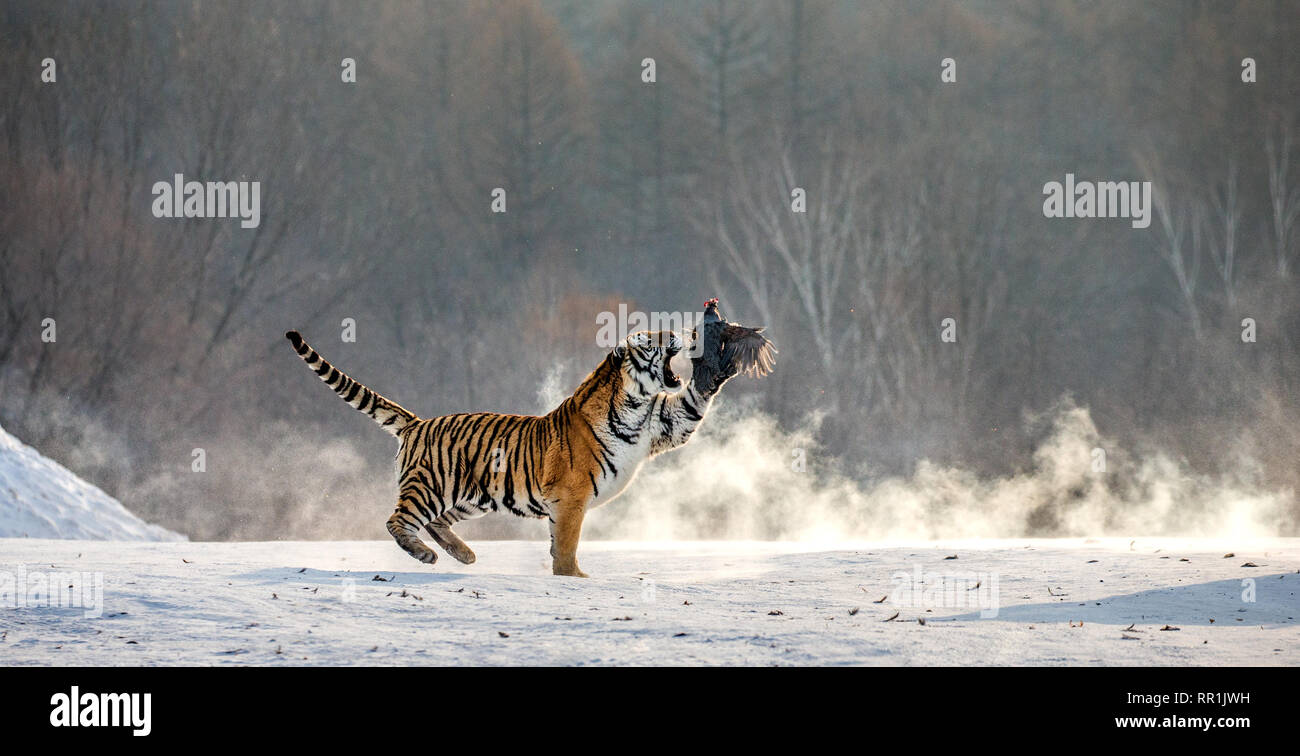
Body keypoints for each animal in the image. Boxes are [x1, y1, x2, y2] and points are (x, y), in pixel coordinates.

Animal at [284, 328, 739, 576]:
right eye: (648, 339)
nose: (680, 333)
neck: (638, 404)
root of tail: (417, 422)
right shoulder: (572, 497)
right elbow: (567, 545)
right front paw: (573, 578)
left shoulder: (665, 424)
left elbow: (689, 404)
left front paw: (718, 367)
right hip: (432, 486)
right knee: (397, 520)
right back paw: (425, 555)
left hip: (471, 496)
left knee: (436, 523)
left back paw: (464, 555)